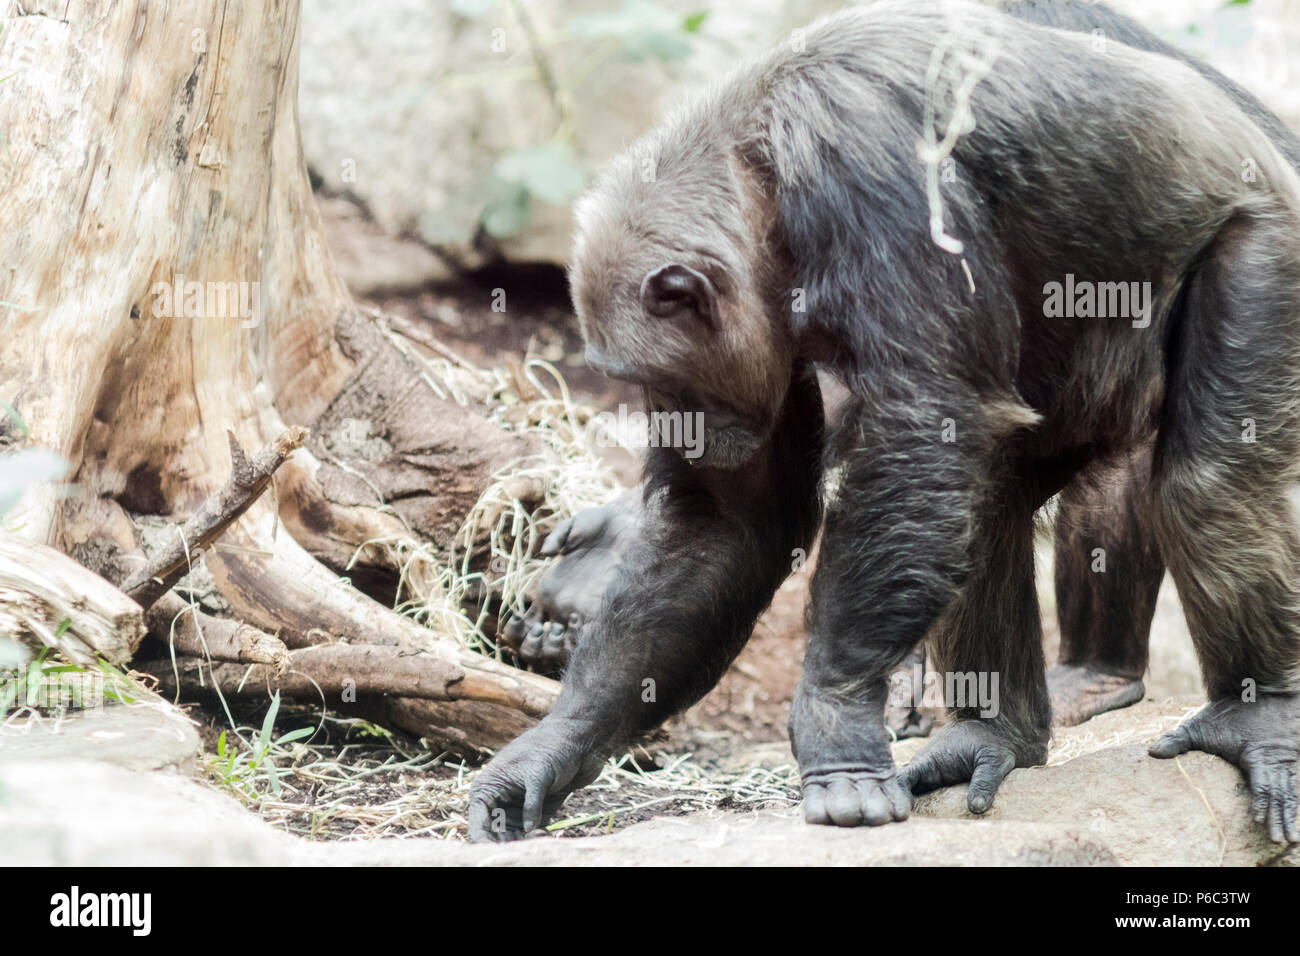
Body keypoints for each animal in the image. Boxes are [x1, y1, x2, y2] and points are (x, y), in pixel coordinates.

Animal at [470, 0, 1300, 843]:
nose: (682, 427)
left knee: (1206, 484)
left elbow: (918, 430)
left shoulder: (874, 178)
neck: (764, 175)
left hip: (1270, 250)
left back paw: (1254, 716)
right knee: (989, 503)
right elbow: (727, 527)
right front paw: (546, 752)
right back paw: (992, 736)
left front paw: (834, 723)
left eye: (656, 382)